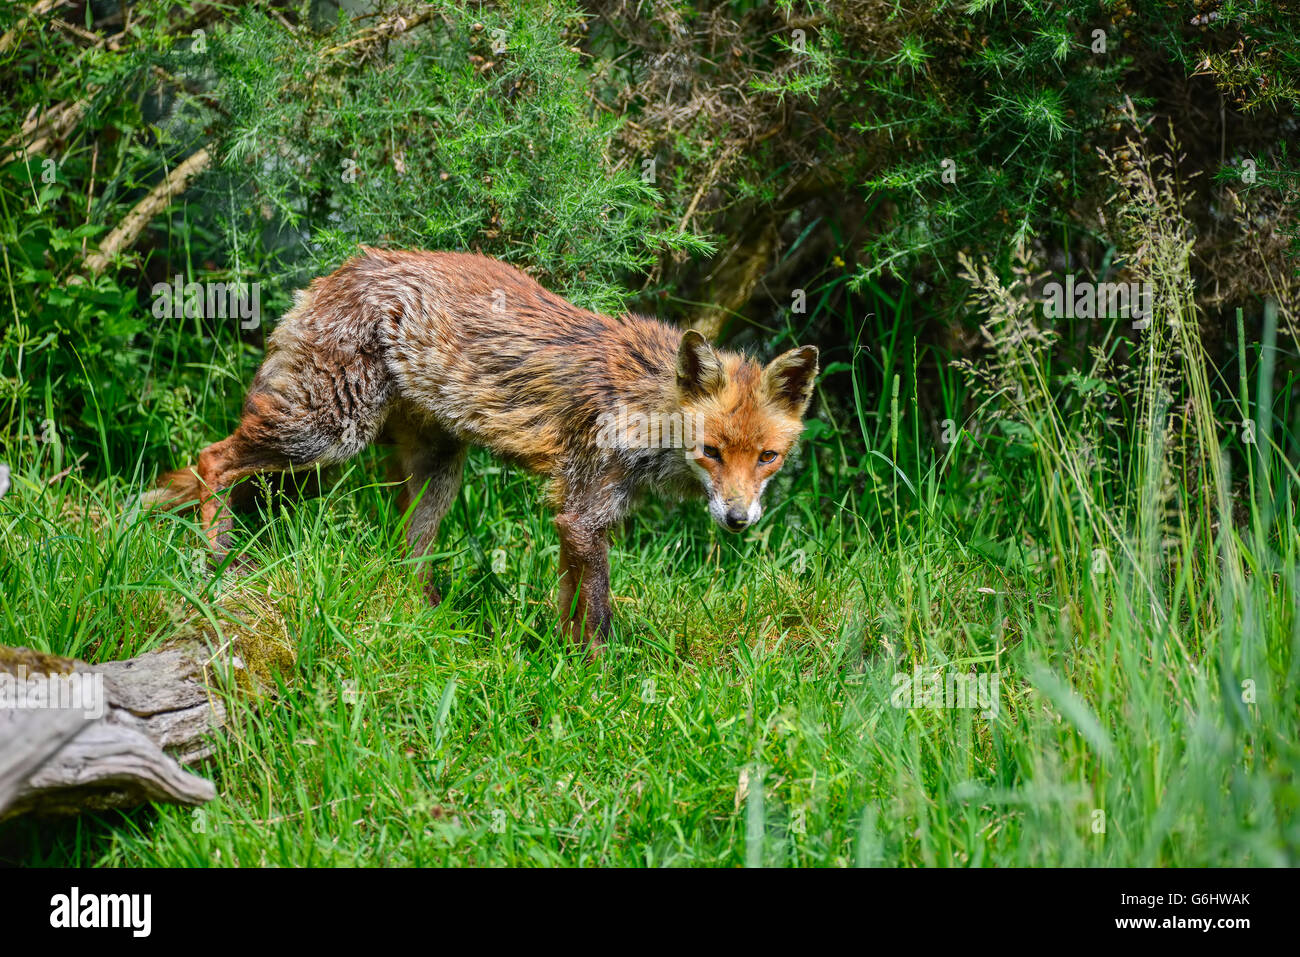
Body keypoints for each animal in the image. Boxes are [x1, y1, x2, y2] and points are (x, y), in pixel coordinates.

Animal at [145, 248, 819, 650]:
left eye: (767, 458)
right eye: (711, 451)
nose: (738, 519)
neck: (643, 407)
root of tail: (336, 273)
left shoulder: (576, 516)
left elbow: (570, 605)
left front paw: (564, 667)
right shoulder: (584, 510)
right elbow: (599, 615)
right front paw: (602, 682)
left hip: (435, 470)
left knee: (404, 556)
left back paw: (428, 623)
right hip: (325, 432)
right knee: (210, 460)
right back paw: (216, 564)